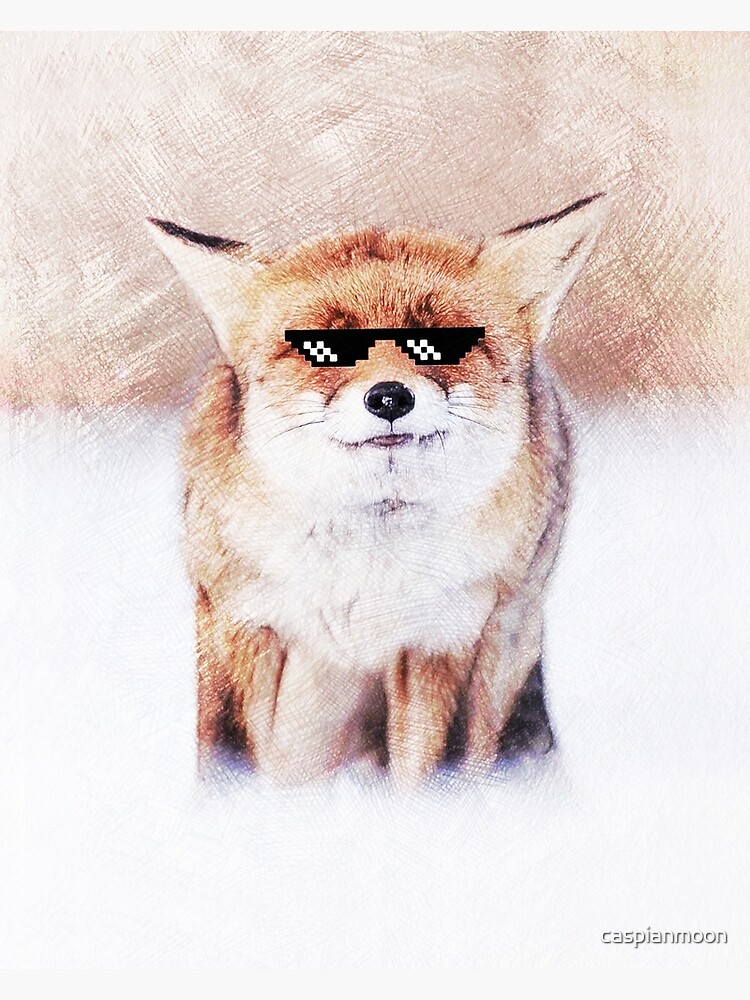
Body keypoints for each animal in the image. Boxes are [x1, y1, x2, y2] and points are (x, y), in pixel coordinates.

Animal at [148, 194, 607, 785]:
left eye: (441, 342)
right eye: (321, 346)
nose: (389, 397)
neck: (363, 576)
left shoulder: (443, 641)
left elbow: (434, 780)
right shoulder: (240, 625)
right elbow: (226, 766)